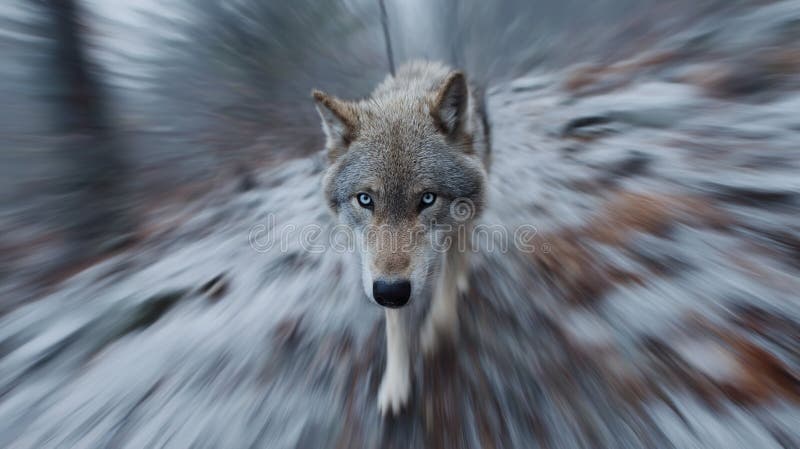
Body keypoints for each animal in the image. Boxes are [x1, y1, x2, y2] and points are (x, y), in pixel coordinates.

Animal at [312, 60, 490, 415]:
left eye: (427, 199)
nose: (391, 293)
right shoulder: (380, 274)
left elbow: (444, 296)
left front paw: (436, 332)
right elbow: (395, 331)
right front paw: (395, 384)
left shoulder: (455, 233)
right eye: (365, 199)